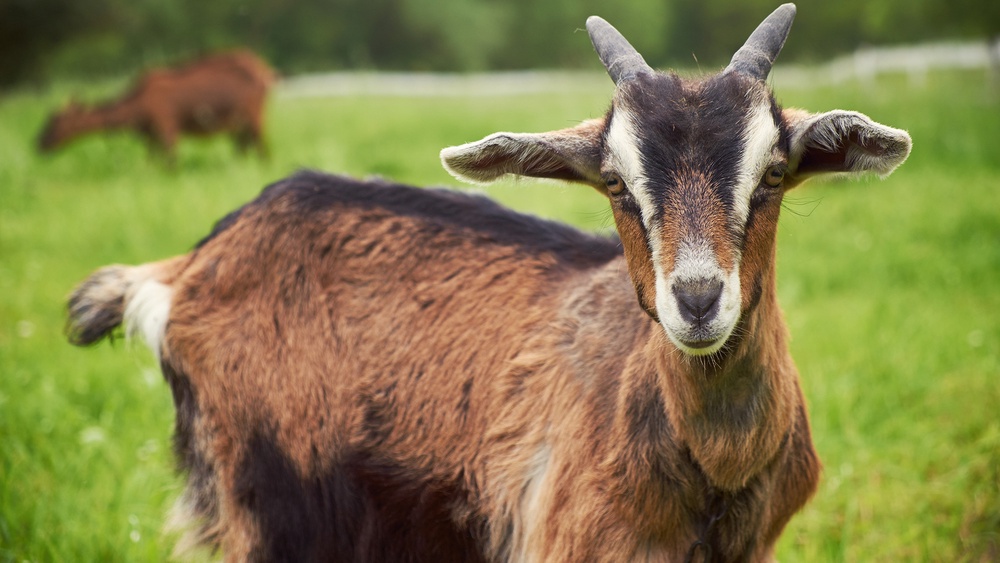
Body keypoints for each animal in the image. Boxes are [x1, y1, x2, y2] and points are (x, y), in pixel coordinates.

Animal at [38, 49, 275, 162]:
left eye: (55, 121)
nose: (38, 143)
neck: (136, 107)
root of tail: (265, 70)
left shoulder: (167, 127)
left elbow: (170, 163)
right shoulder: (150, 136)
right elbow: (152, 163)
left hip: (255, 116)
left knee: (262, 150)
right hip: (239, 123)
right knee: (244, 148)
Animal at [66, 4, 911, 561]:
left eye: (773, 173)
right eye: (615, 182)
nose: (698, 300)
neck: (712, 470)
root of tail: (189, 266)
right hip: (269, 503)